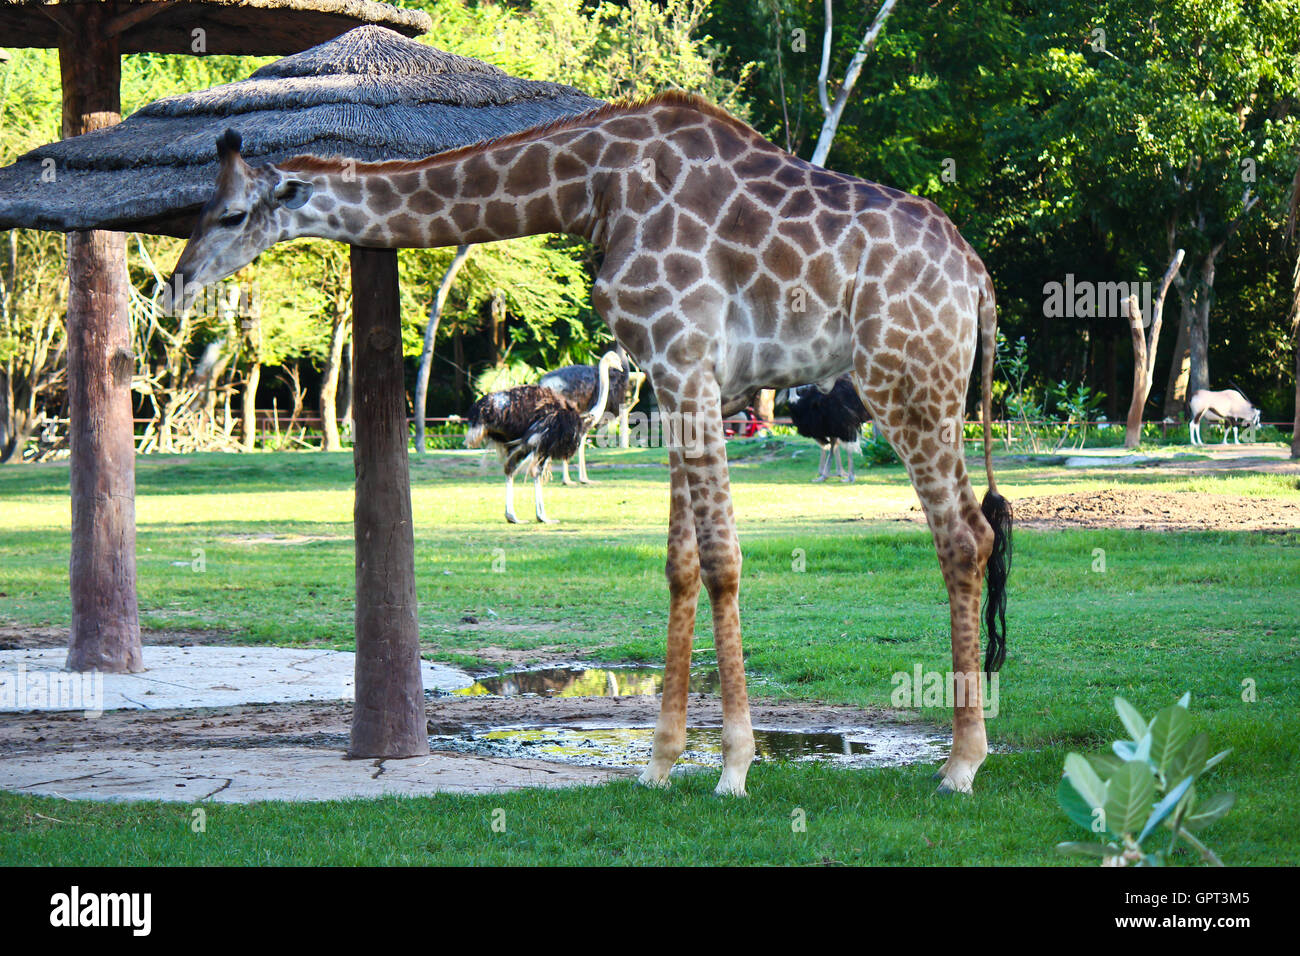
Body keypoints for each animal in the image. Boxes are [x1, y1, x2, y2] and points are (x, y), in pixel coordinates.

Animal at [169, 93, 1013, 796]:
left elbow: (723, 559)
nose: (178, 285)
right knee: (975, 532)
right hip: (927, 385)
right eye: (200, 208)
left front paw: (734, 769)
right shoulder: (675, 374)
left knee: (963, 536)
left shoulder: (686, 357)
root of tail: (977, 277)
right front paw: (660, 765)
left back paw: (961, 765)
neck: (595, 188)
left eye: (229, 215)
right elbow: (679, 565)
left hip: (907, 379)